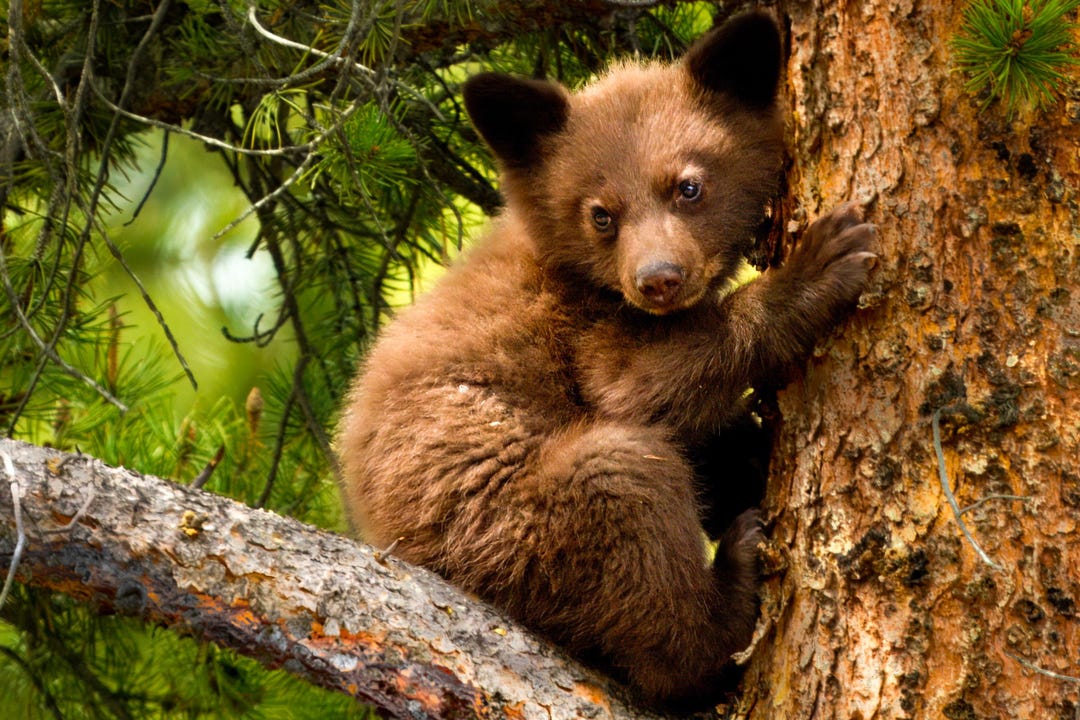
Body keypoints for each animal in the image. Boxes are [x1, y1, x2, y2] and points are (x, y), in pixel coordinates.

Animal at [336, 10, 875, 709]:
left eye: (689, 186)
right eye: (600, 214)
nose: (659, 279)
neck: (576, 274)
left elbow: (698, 429)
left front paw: (753, 453)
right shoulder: (583, 329)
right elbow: (639, 386)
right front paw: (817, 268)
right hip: (511, 532)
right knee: (627, 501)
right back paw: (733, 585)